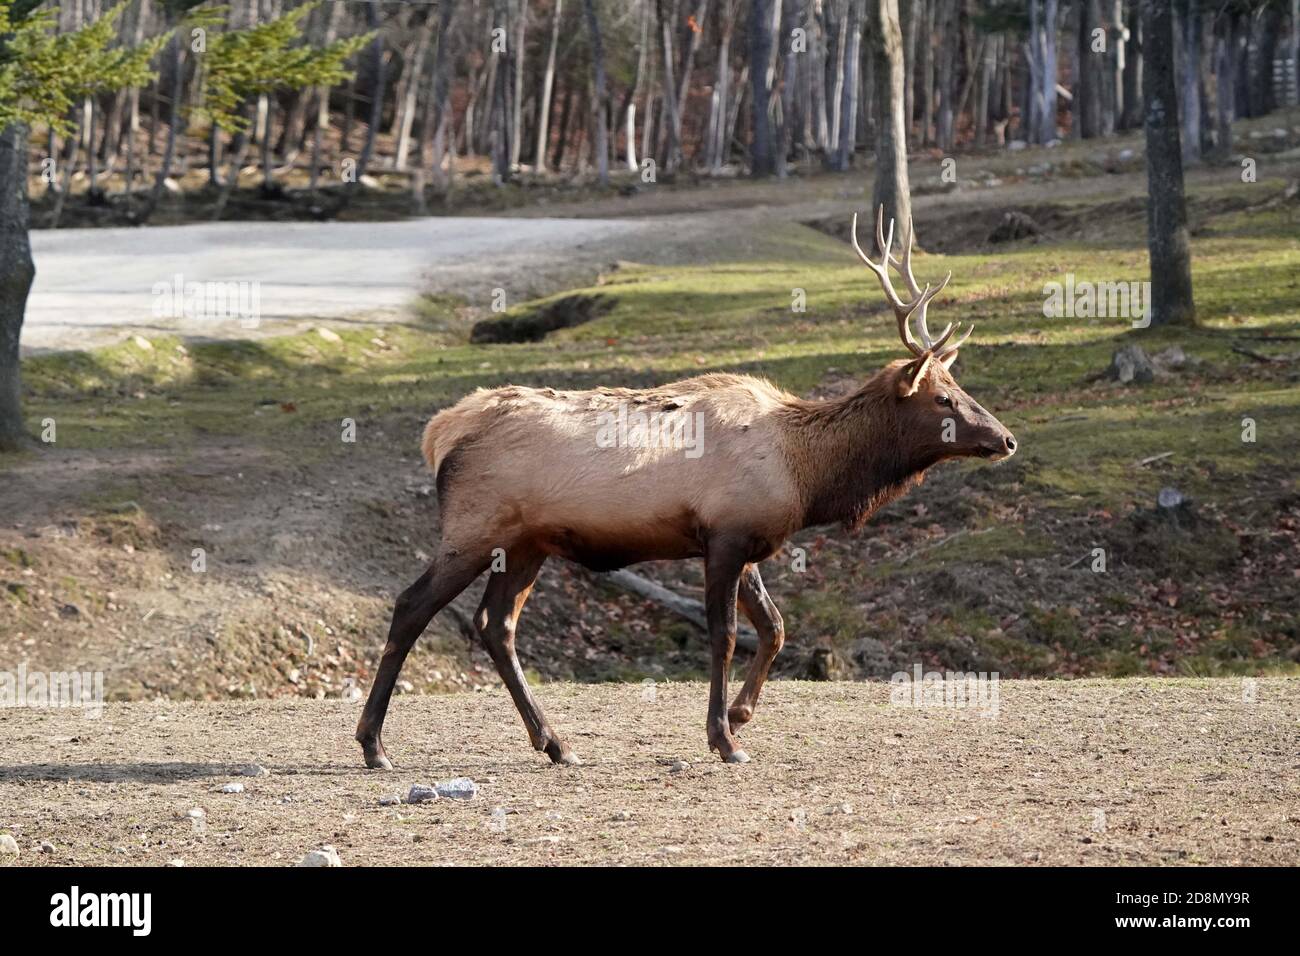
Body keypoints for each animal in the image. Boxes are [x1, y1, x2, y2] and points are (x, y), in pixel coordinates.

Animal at [356, 208, 1017, 769]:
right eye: (944, 398)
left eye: (959, 387)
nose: (1006, 439)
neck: (805, 475)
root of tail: (438, 432)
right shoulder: (724, 536)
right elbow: (724, 635)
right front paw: (724, 738)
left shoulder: (747, 539)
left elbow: (775, 626)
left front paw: (742, 715)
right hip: (473, 526)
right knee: (411, 606)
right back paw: (374, 746)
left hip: (525, 544)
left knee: (496, 625)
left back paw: (556, 743)